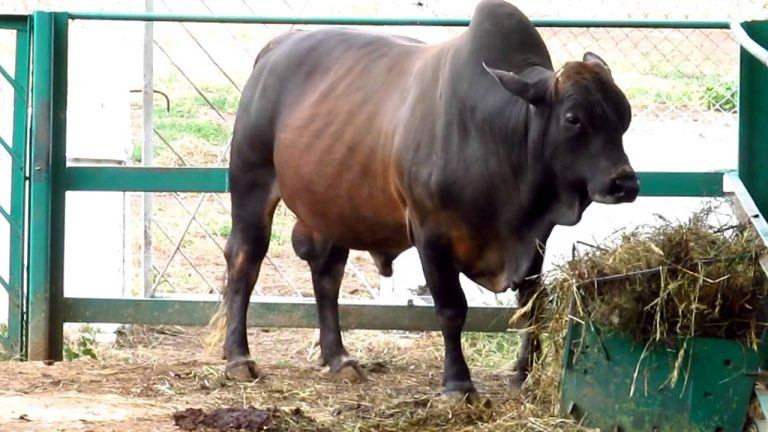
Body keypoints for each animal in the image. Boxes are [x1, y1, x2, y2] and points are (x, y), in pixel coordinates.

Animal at [214, 0, 639, 402]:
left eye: (624, 115)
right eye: (573, 118)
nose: (625, 183)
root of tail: (275, 48)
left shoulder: (534, 239)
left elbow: (532, 303)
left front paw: (523, 376)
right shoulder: (431, 232)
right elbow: (451, 309)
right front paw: (458, 384)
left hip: (335, 205)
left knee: (327, 274)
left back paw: (338, 358)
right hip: (252, 184)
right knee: (245, 260)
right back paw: (239, 357)